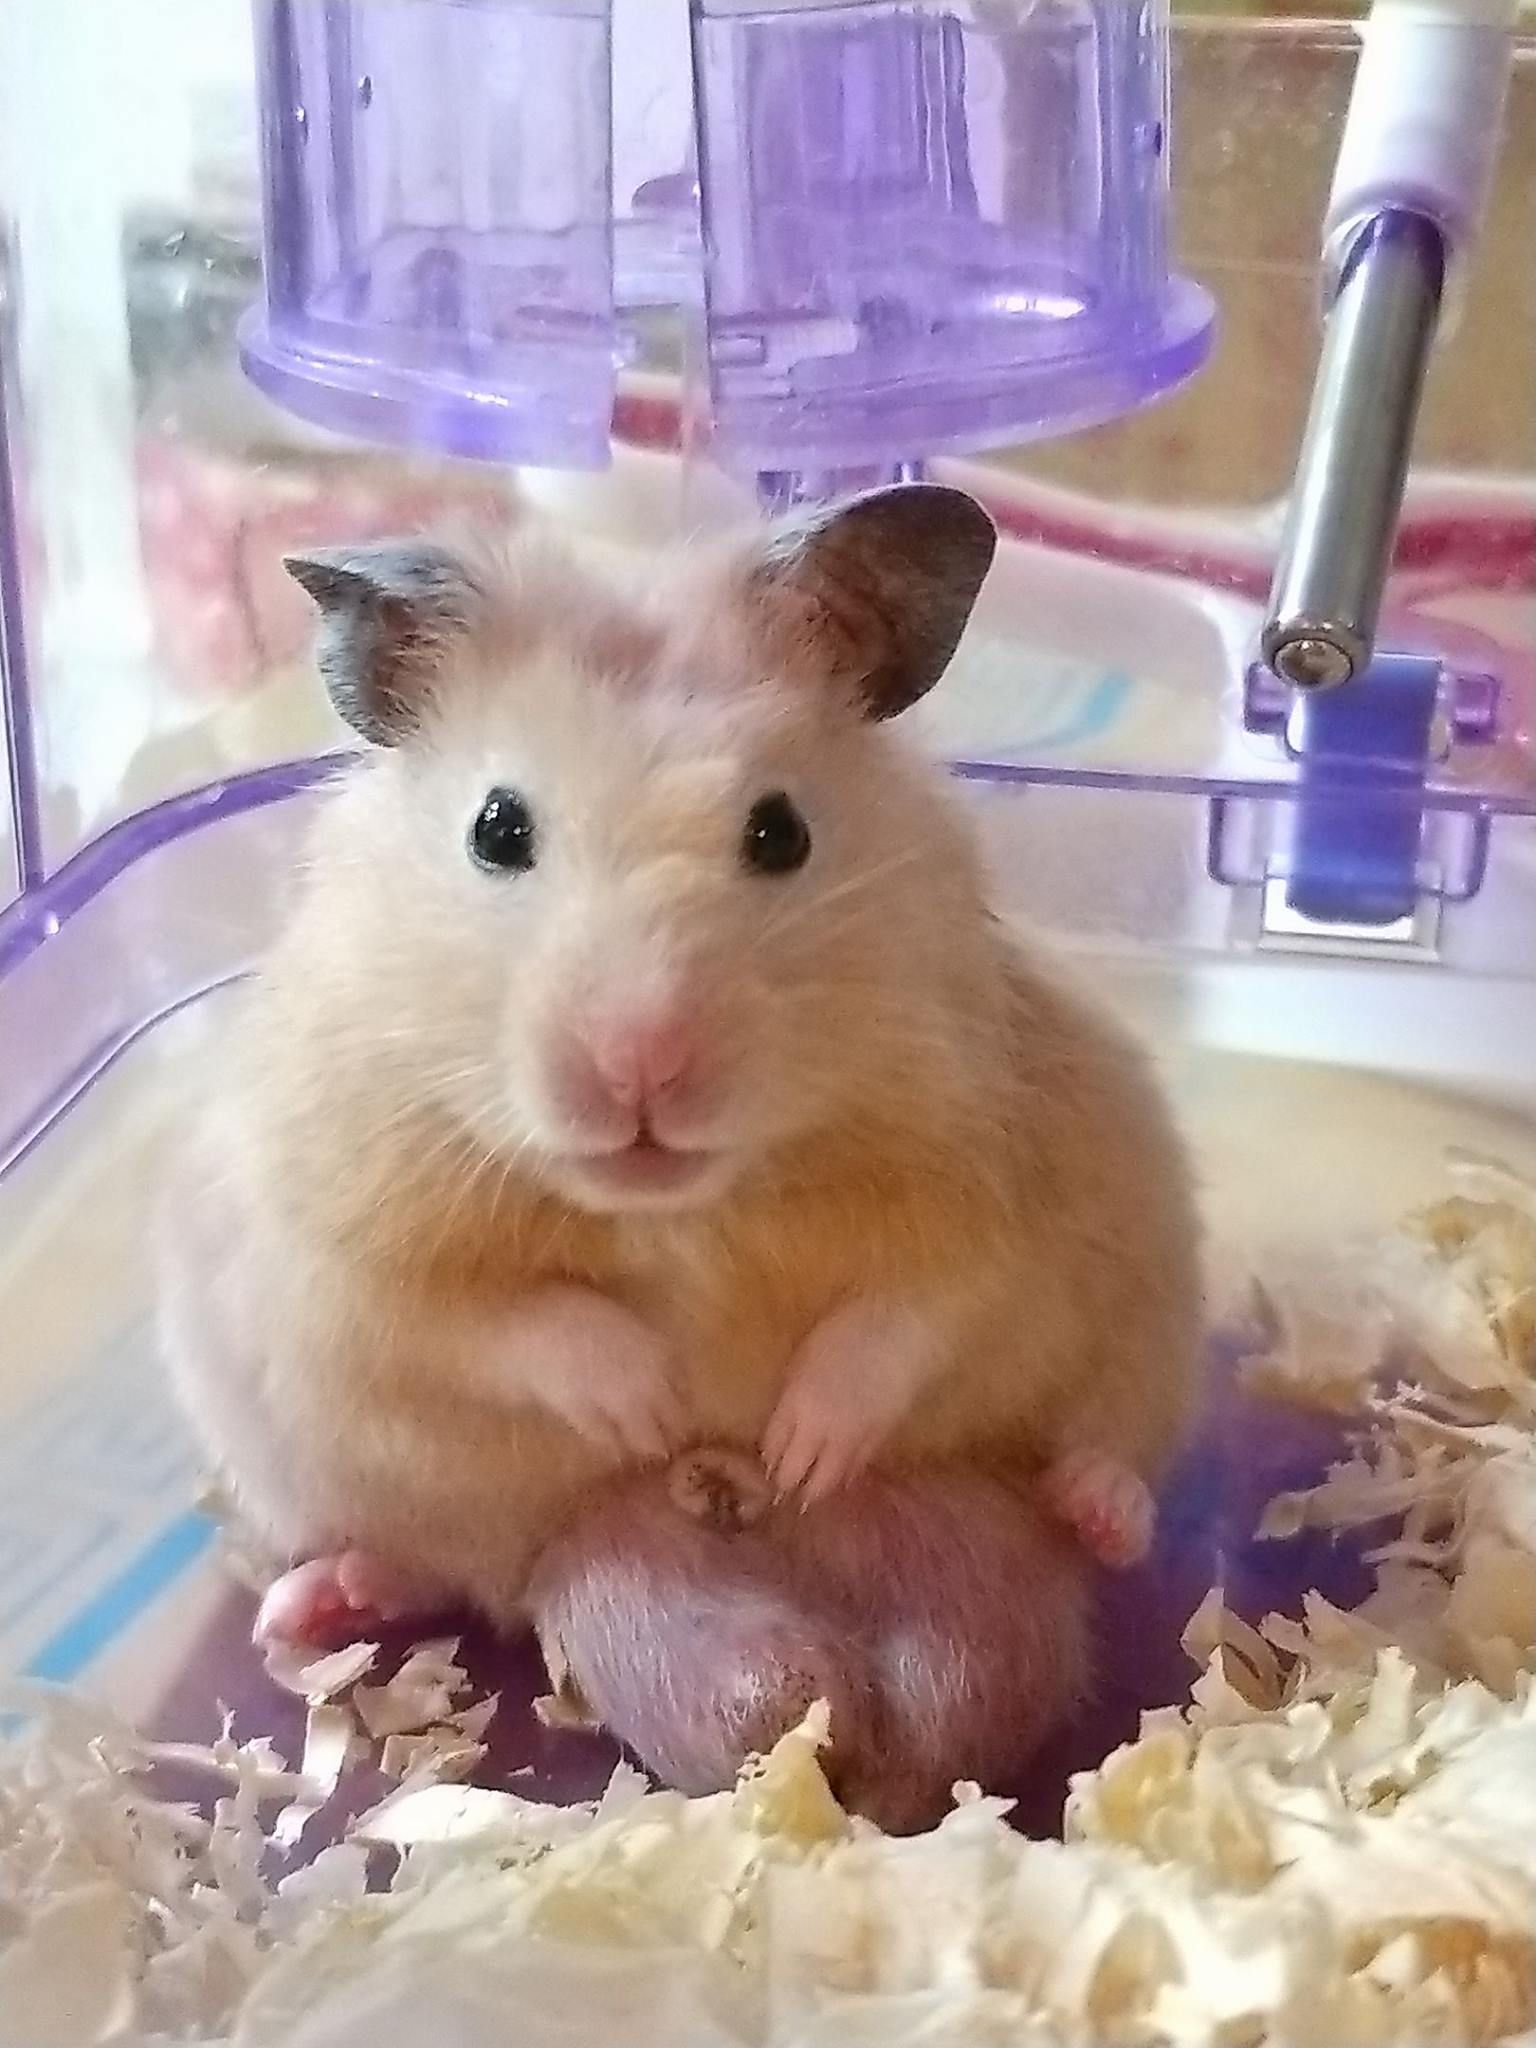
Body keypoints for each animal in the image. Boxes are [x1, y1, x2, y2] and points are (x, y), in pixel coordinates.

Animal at [160, 482, 1203, 1822]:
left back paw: (1077, 1507)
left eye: (780, 830)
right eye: (498, 827)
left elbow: (913, 1313)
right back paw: (318, 1599)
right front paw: (652, 1413)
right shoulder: (342, 1240)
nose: (639, 1067)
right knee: (431, 1560)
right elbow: (501, 1320)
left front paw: (800, 1448)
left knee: (1092, 1468)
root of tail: (868, 1677)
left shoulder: (1004, 1170)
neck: (680, 1205)